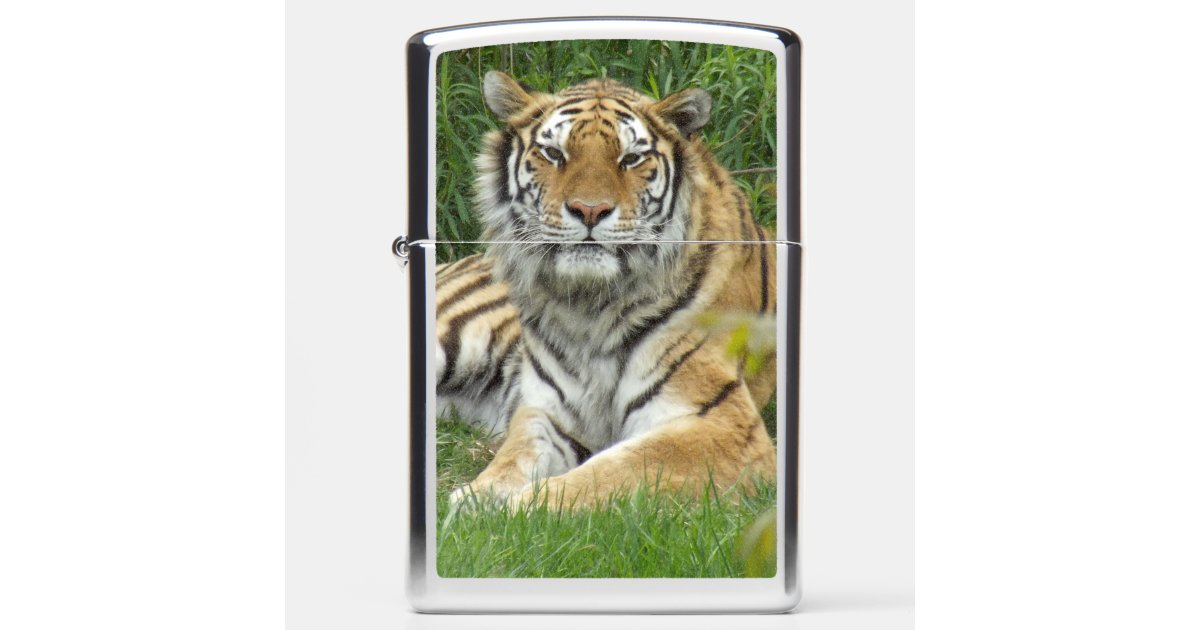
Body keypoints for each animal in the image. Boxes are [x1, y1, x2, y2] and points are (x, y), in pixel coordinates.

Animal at [435, 70, 778, 509]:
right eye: (554, 154)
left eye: (631, 158)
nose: (589, 210)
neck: (589, 307)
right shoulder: (549, 413)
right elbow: (516, 455)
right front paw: (476, 499)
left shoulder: (724, 425)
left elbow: (608, 472)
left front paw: (511, 509)